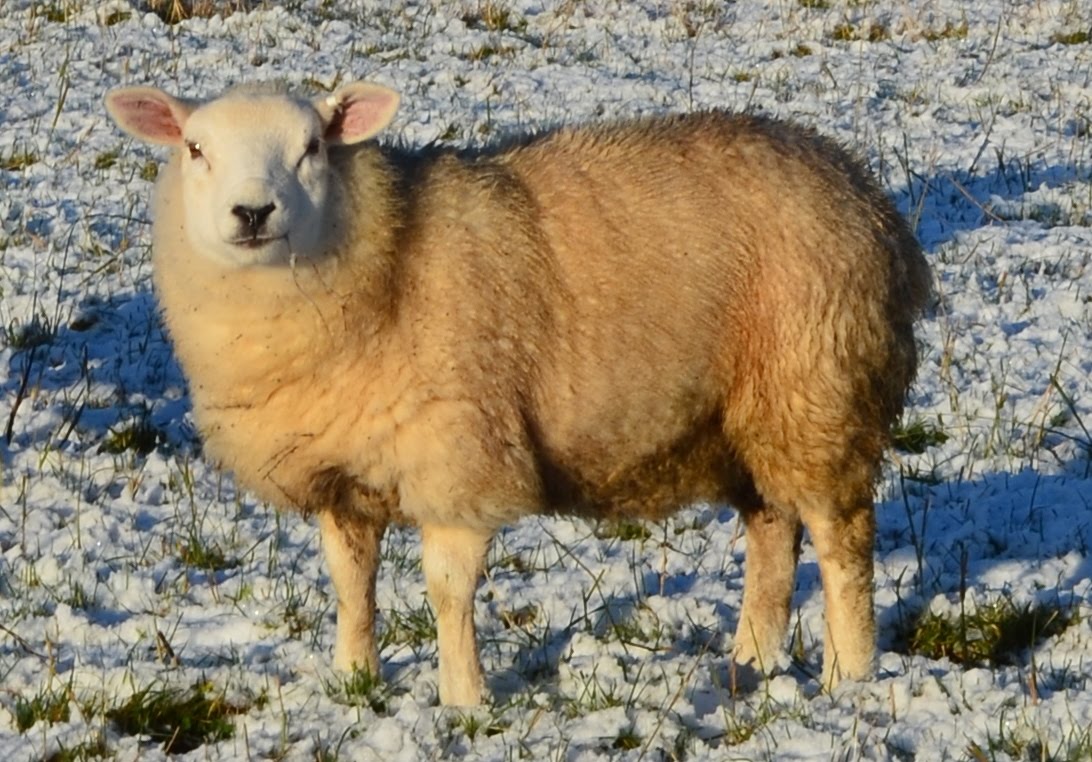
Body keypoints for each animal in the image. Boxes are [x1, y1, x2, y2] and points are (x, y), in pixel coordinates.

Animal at [104, 80, 930, 706]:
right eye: (195, 149)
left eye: (312, 147)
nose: (252, 213)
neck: (387, 259)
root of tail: (865, 193)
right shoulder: (344, 470)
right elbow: (349, 582)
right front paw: (354, 680)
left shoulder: (457, 455)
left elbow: (447, 588)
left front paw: (462, 700)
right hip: (745, 412)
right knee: (771, 529)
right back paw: (752, 656)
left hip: (818, 387)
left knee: (840, 537)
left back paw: (849, 676)